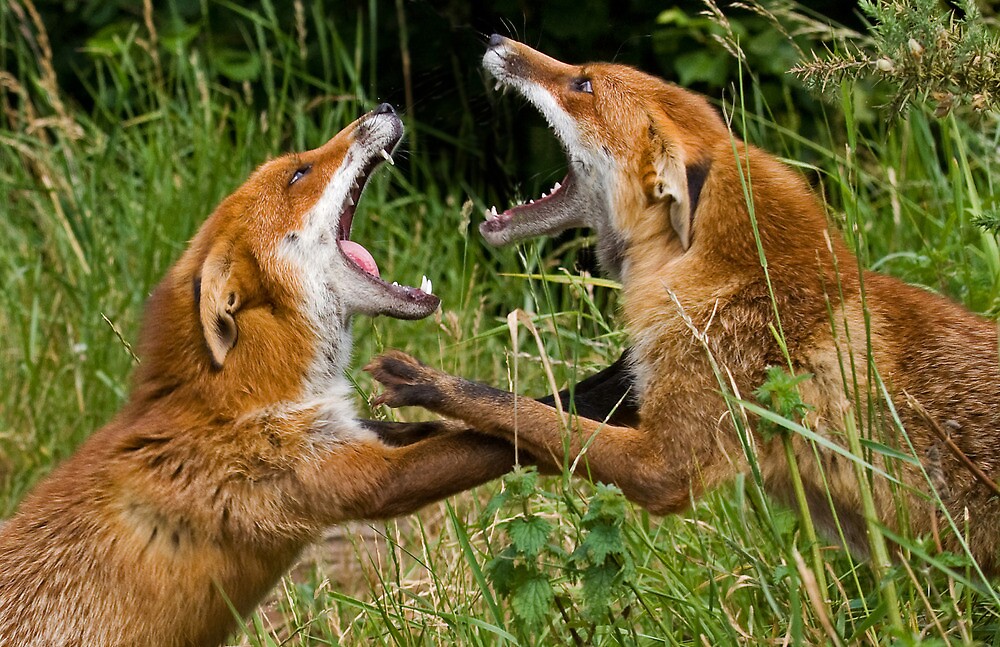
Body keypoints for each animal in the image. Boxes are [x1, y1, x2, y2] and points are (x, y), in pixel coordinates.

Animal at [0, 104, 525, 646]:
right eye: (299, 173)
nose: (382, 108)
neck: (238, 398)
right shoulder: (358, 478)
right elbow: (475, 447)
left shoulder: (343, 433)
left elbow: (444, 427)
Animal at [366, 36, 1000, 573]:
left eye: (582, 84)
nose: (496, 40)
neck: (724, 279)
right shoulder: (646, 387)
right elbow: (540, 413)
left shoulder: (666, 464)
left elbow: (519, 413)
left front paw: (427, 386)